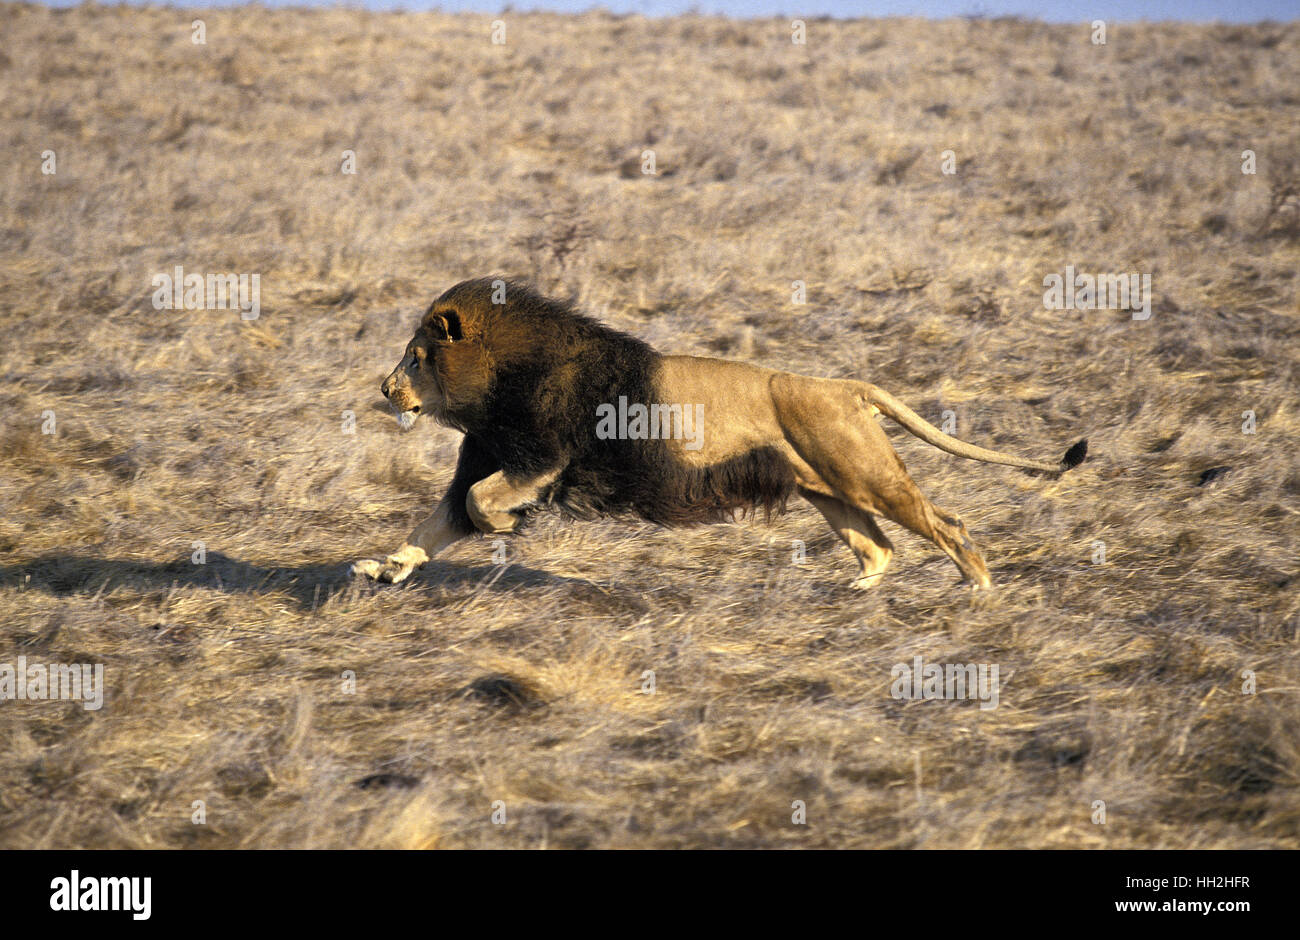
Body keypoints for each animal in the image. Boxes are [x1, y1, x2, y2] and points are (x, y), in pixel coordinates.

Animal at [352, 278, 1086, 590]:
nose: (385, 390)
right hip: (832, 492)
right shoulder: (483, 462)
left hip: (867, 478)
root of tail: (845, 386)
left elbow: (481, 504)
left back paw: (980, 589)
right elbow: (431, 526)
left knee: (946, 524)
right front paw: (383, 567)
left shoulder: (541, 459)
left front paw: (506, 526)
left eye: (415, 357)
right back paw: (852, 595)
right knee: (877, 550)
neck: (492, 387)